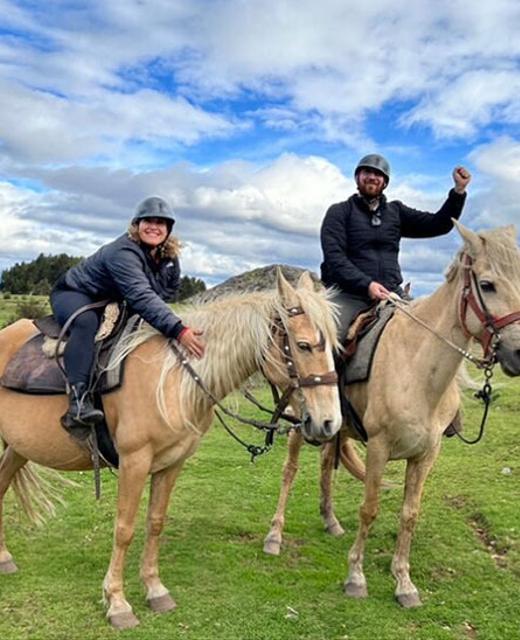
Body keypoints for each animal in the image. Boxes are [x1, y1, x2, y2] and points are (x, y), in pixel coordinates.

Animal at [0, 270, 342, 629]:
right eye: (303, 345)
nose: (330, 422)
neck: (175, 379)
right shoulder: (134, 462)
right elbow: (124, 528)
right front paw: (117, 602)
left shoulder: (171, 464)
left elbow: (155, 522)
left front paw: (155, 589)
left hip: (19, 448)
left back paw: (4, 557)